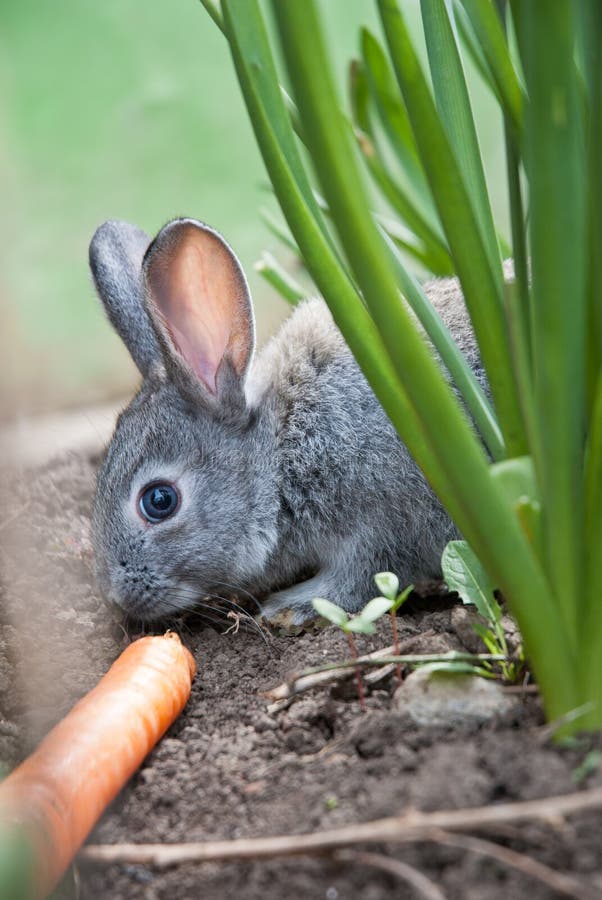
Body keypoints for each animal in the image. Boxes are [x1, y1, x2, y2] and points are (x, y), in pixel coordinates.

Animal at [89, 217, 482, 625]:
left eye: (159, 500)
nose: (115, 597)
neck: (280, 452)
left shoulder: (386, 519)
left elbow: (363, 577)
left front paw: (289, 607)